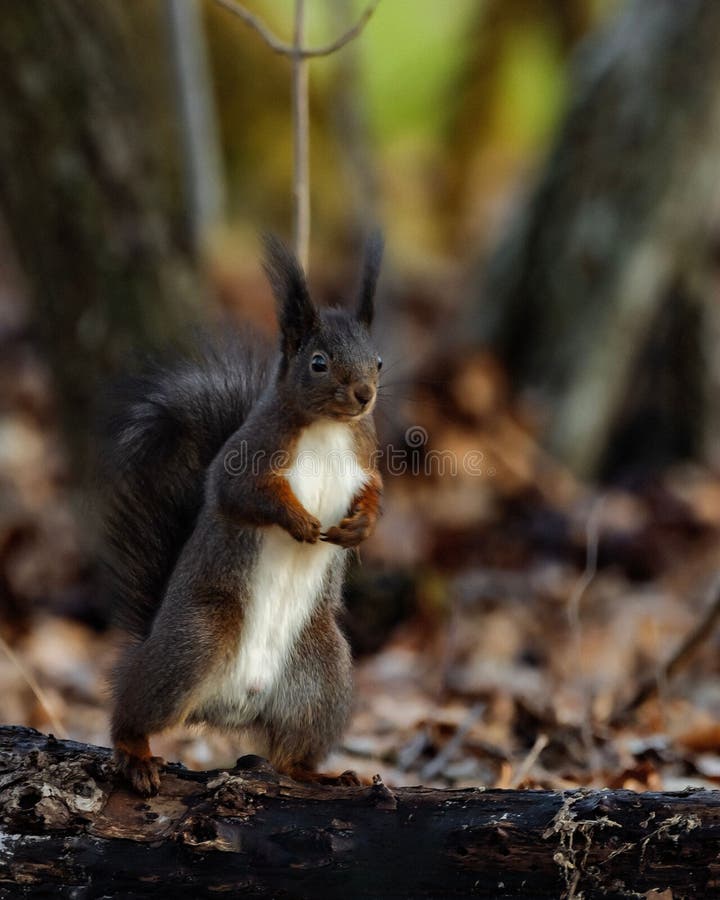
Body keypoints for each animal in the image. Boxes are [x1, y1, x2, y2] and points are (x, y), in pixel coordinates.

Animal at [100, 234, 384, 796]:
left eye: (379, 362)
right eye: (318, 362)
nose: (364, 395)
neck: (329, 428)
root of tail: (229, 707)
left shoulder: (365, 461)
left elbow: (375, 494)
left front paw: (359, 527)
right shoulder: (247, 457)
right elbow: (242, 494)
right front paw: (299, 522)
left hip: (323, 677)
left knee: (290, 752)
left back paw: (321, 774)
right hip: (195, 644)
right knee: (134, 707)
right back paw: (135, 754)